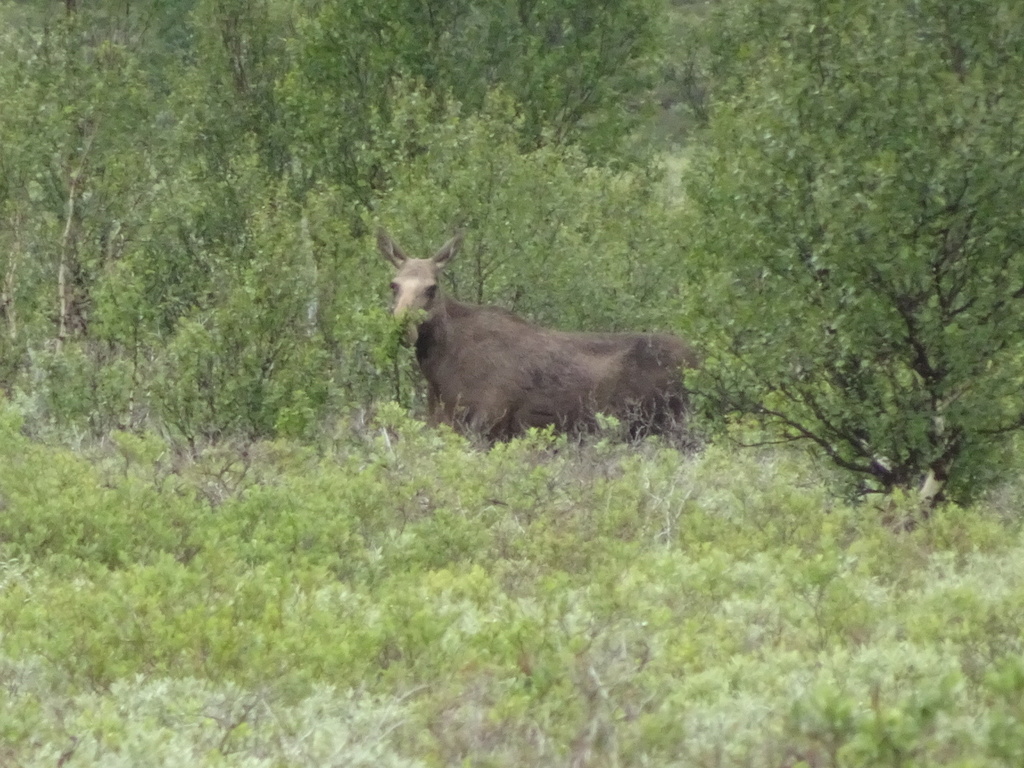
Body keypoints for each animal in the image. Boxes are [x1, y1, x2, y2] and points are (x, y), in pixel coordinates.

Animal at [378, 229, 700, 443]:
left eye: (431, 288)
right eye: (394, 285)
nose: (401, 329)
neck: (437, 371)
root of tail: (697, 360)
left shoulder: (486, 424)